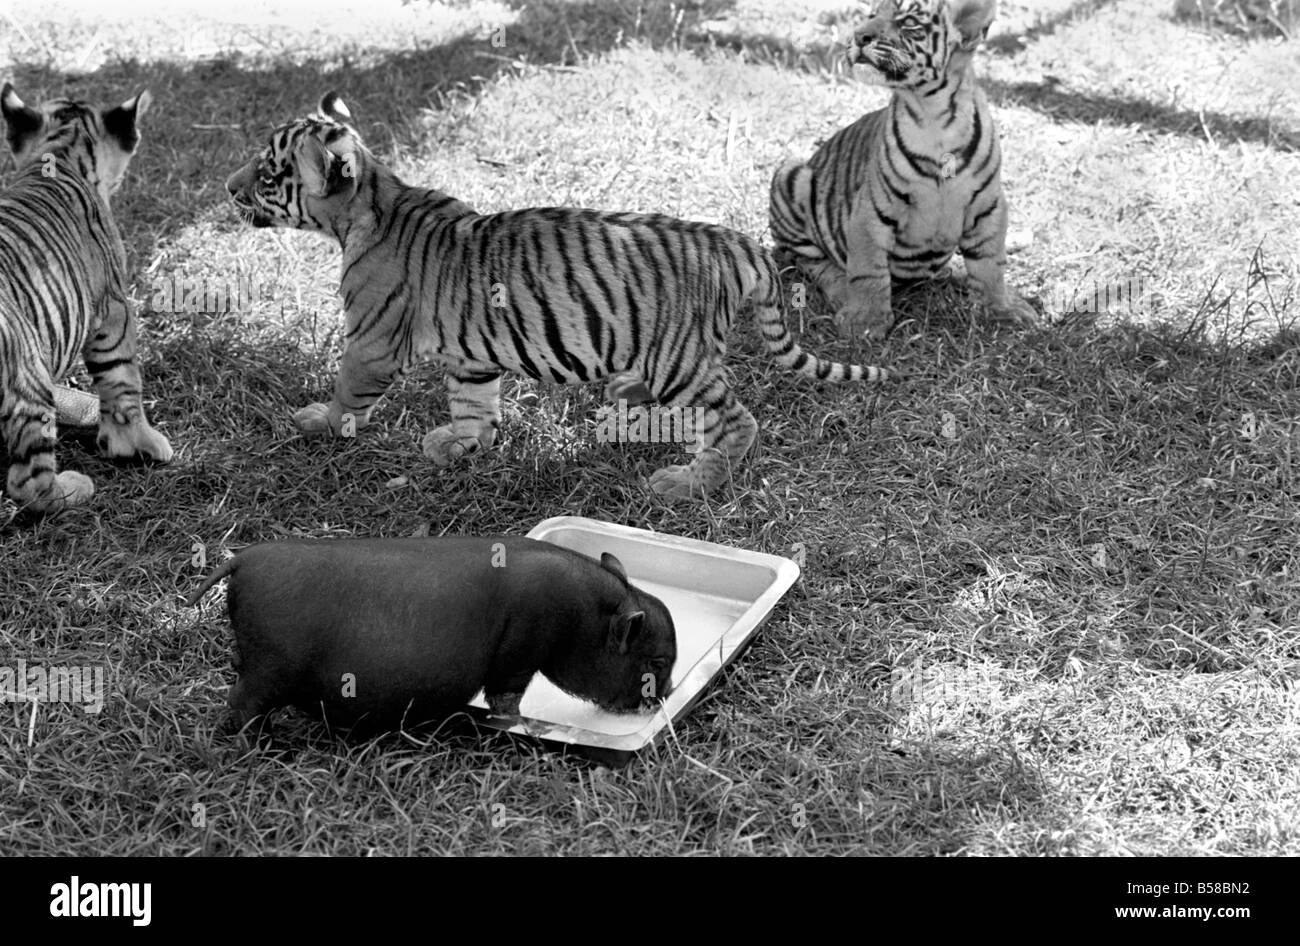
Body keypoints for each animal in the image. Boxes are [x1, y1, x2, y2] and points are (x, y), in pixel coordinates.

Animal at [0, 83, 173, 515]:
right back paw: (73, 488)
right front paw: (138, 444)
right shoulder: (115, 308)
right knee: (29, 483)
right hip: (28, 377)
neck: (63, 151)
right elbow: (123, 382)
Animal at [184, 536, 677, 736]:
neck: (585, 619)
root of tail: (243, 559)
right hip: (269, 668)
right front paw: (529, 725)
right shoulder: (521, 650)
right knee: (240, 704)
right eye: (656, 662)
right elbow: (506, 700)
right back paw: (259, 746)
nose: (666, 695)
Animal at [224, 94, 890, 500]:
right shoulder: (470, 355)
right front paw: (459, 445)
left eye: (267, 174)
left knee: (734, 420)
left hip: (679, 358)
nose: (227, 188)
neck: (371, 203)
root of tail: (732, 240)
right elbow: (473, 404)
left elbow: (347, 394)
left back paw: (687, 482)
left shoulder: (372, 342)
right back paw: (628, 402)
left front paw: (318, 421)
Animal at [769, 0, 1036, 342]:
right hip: (791, 176)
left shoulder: (989, 206)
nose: (858, 35)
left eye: (908, 22)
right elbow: (868, 268)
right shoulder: (871, 210)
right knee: (809, 259)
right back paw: (841, 291)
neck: (934, 114)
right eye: (871, 14)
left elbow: (991, 263)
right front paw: (865, 320)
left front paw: (1002, 309)